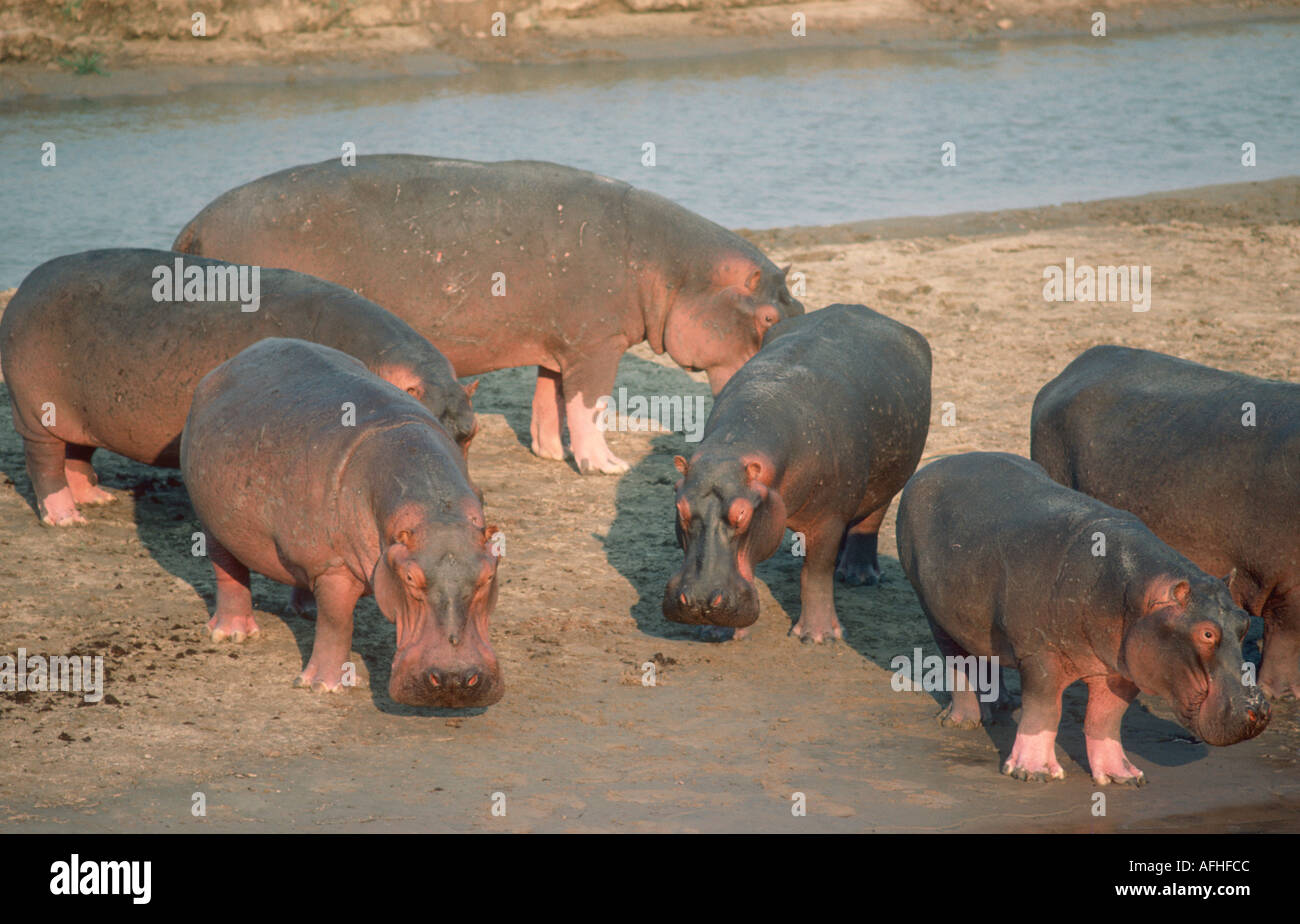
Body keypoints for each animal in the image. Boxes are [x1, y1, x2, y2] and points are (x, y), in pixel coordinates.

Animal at [0, 249, 477, 527]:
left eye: (470, 435)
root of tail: (25, 285)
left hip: (79, 412)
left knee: (77, 452)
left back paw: (95, 500)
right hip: (34, 409)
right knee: (44, 461)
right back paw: (66, 519)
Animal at [173, 155, 803, 475]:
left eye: (796, 301)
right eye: (771, 318)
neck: (675, 266)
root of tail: (193, 225)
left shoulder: (559, 343)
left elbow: (549, 398)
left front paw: (549, 454)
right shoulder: (597, 343)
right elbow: (589, 405)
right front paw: (607, 467)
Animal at [181, 338, 502, 707]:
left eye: (489, 575)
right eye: (410, 577)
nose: (454, 680)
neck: (438, 513)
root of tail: (237, 359)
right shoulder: (334, 567)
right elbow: (337, 623)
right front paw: (323, 686)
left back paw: (305, 609)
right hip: (214, 521)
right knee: (228, 570)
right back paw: (232, 634)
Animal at [662, 304, 931, 642]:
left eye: (742, 514)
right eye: (680, 508)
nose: (699, 603)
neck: (734, 447)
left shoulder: (829, 516)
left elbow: (815, 572)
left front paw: (818, 637)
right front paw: (716, 632)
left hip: (887, 483)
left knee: (868, 521)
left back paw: (858, 576)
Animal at [896, 452, 1270, 785]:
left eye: (1243, 623)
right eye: (1206, 634)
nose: (1261, 710)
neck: (1136, 592)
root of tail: (937, 465)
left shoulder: (1120, 671)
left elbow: (1105, 719)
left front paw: (1124, 777)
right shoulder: (1040, 655)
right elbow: (1045, 711)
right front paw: (1032, 773)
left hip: (982, 622)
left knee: (986, 654)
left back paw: (1000, 706)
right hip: (935, 612)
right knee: (956, 659)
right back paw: (964, 722)